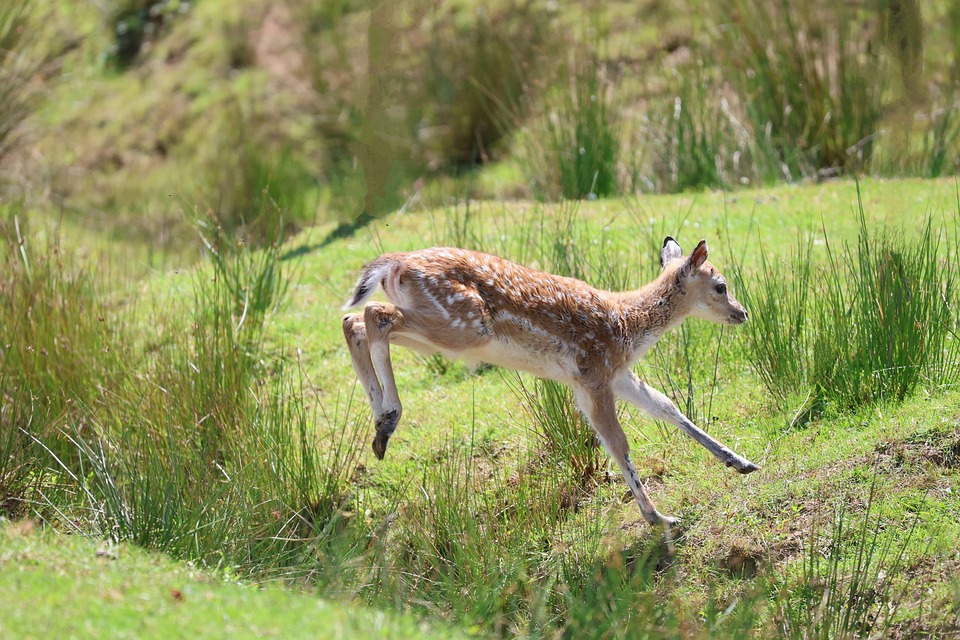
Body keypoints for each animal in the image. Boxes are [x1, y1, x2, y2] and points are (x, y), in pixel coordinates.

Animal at [341, 237, 759, 530]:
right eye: (721, 285)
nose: (742, 313)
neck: (627, 325)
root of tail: (394, 264)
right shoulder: (594, 374)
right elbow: (618, 442)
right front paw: (661, 519)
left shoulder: (613, 374)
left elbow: (667, 407)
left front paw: (741, 462)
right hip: (462, 324)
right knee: (374, 314)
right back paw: (389, 418)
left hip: (443, 331)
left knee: (355, 321)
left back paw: (380, 427)